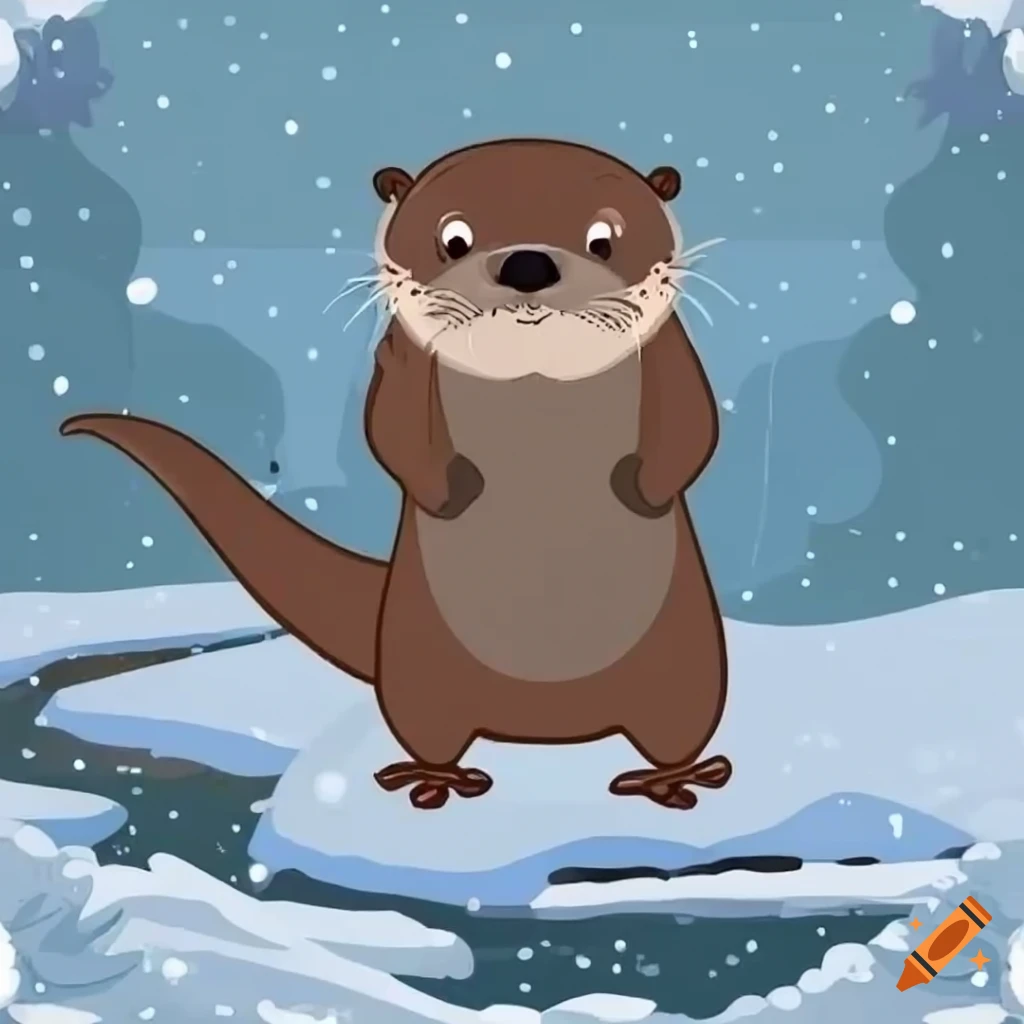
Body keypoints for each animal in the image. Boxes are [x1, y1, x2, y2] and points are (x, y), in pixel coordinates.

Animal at [61, 138, 732, 812]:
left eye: (604, 239)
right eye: (454, 238)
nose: (527, 265)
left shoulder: (671, 352)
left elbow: (695, 426)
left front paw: (646, 487)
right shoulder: (404, 358)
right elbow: (390, 431)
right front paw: (445, 490)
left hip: (691, 665)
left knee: (678, 725)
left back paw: (675, 778)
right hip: (418, 668)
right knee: (428, 727)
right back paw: (435, 780)